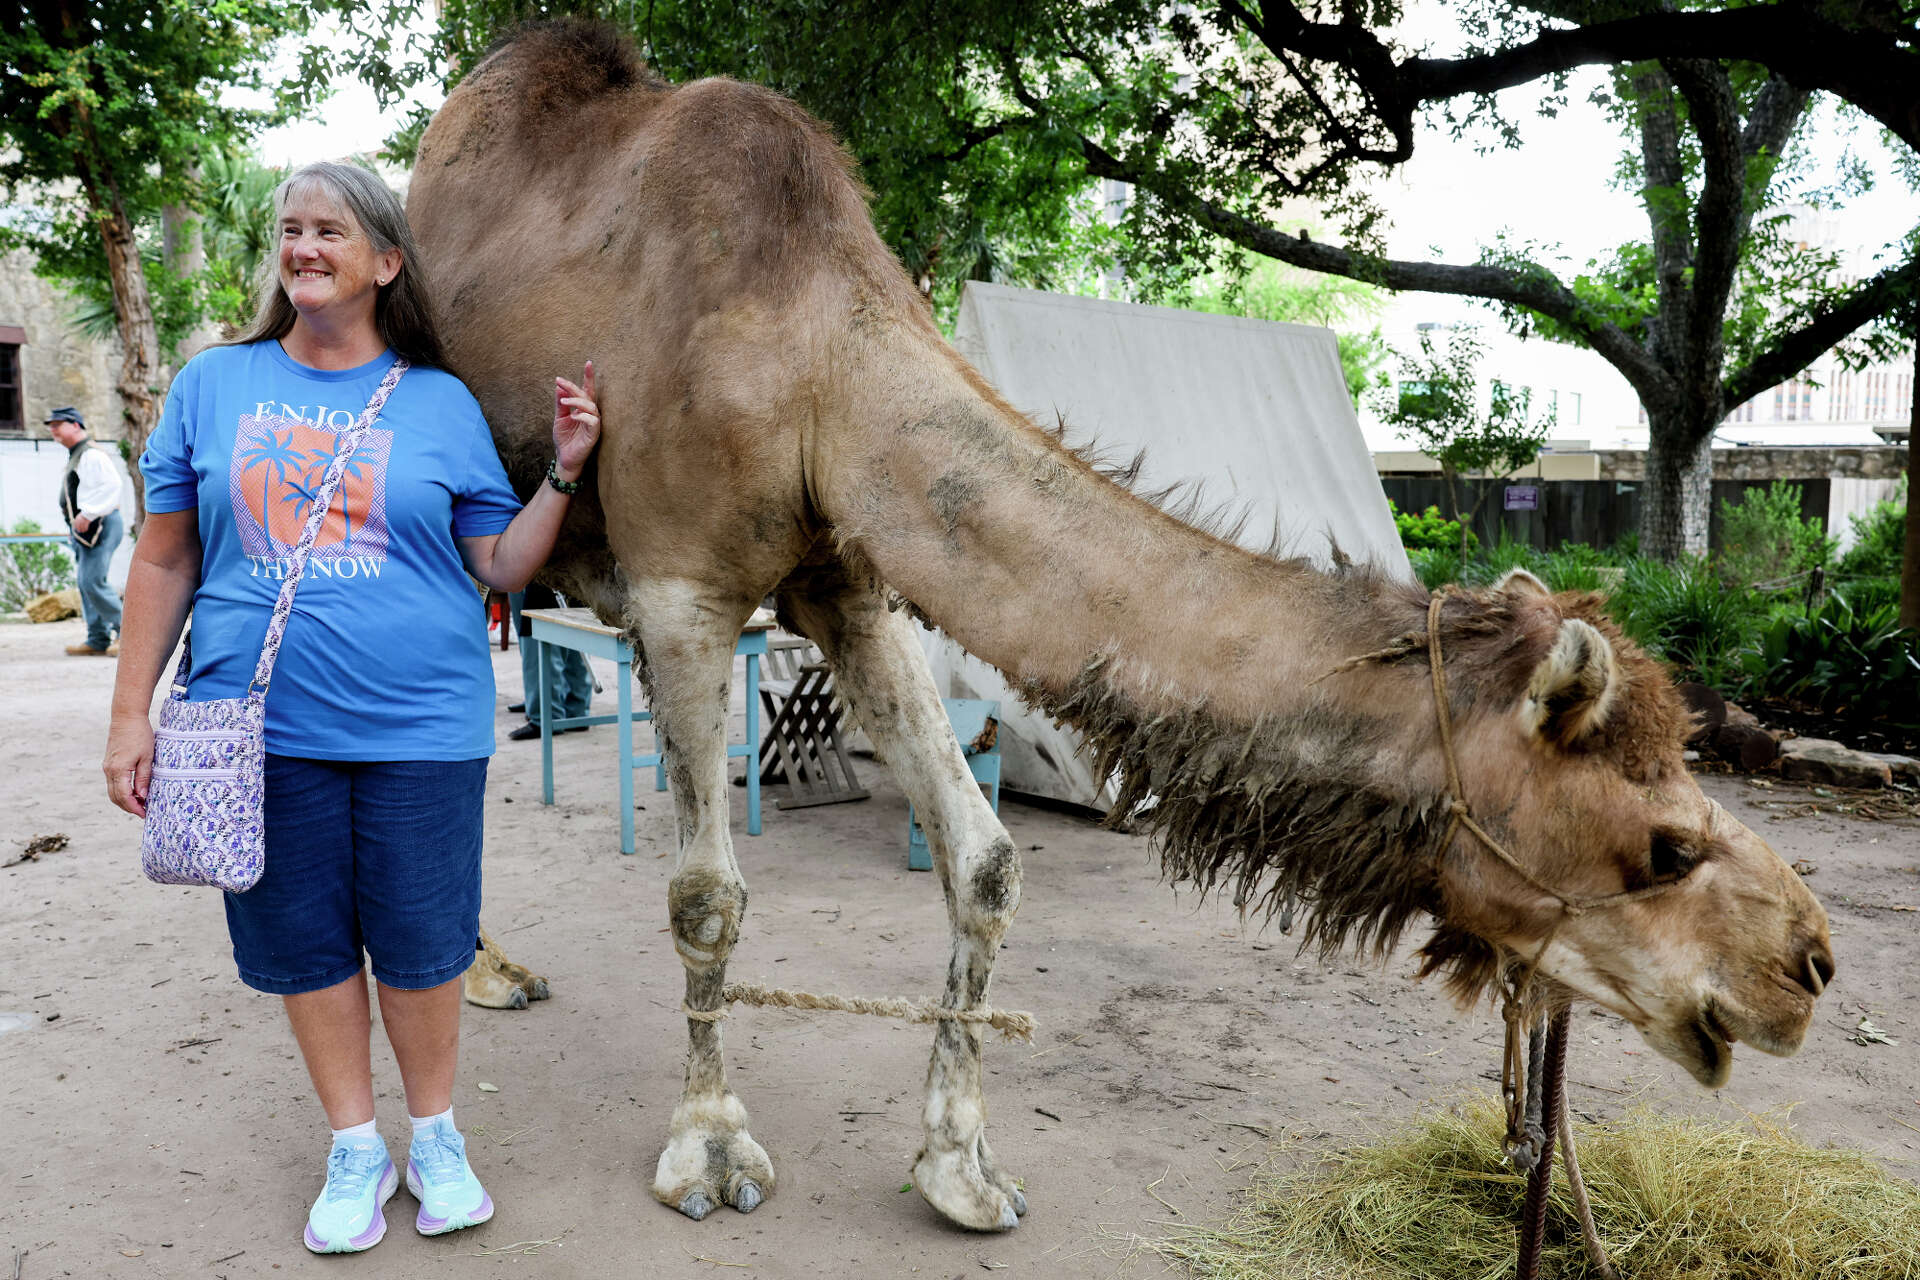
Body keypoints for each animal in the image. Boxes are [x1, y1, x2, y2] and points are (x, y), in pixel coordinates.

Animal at [408, 20, 1834, 1233]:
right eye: (1662, 845)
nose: (1806, 966)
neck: (815, 356)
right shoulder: (683, 585)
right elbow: (707, 893)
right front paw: (707, 1148)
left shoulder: (850, 579)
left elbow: (985, 859)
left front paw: (964, 1169)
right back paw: (480, 974)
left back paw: (487, 968)